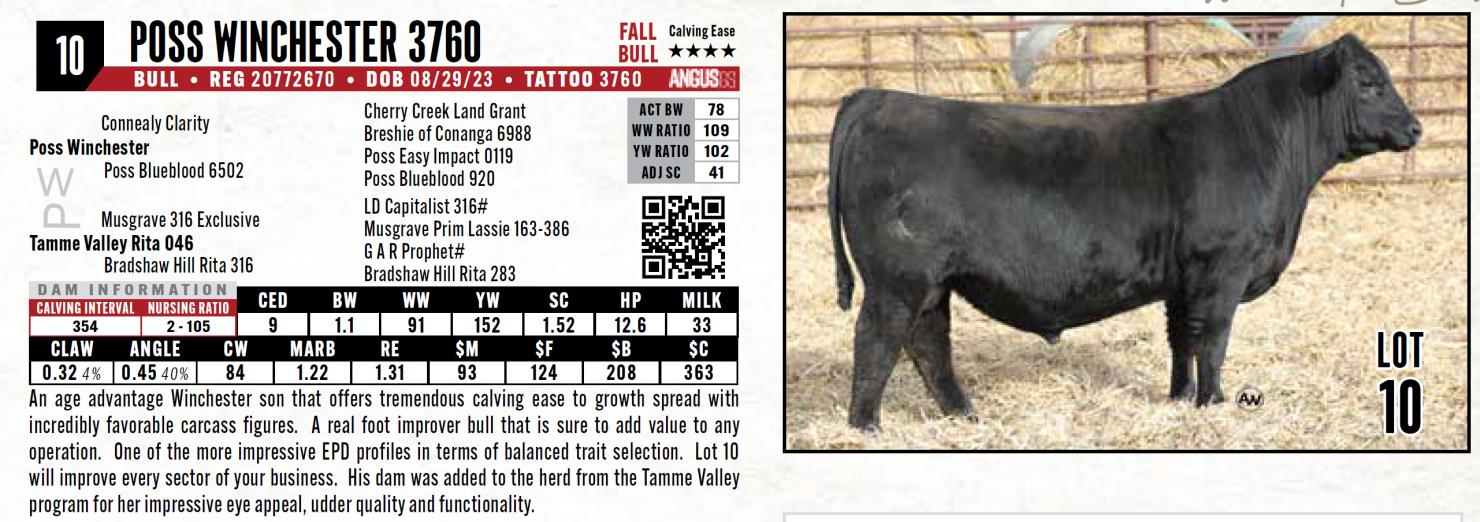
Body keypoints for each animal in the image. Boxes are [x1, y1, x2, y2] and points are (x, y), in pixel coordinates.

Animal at [827, 34, 1422, 431]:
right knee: (878, 339)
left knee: (927, 342)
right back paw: (866, 425)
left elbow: (1182, 339)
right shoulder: (1222, 269)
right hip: (899, 279)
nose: (1415, 126)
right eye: (1370, 83)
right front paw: (1214, 403)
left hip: (933, 283)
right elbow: (1214, 339)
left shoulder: (1184, 280)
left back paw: (964, 414)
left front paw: (1181, 399)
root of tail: (879, 96)